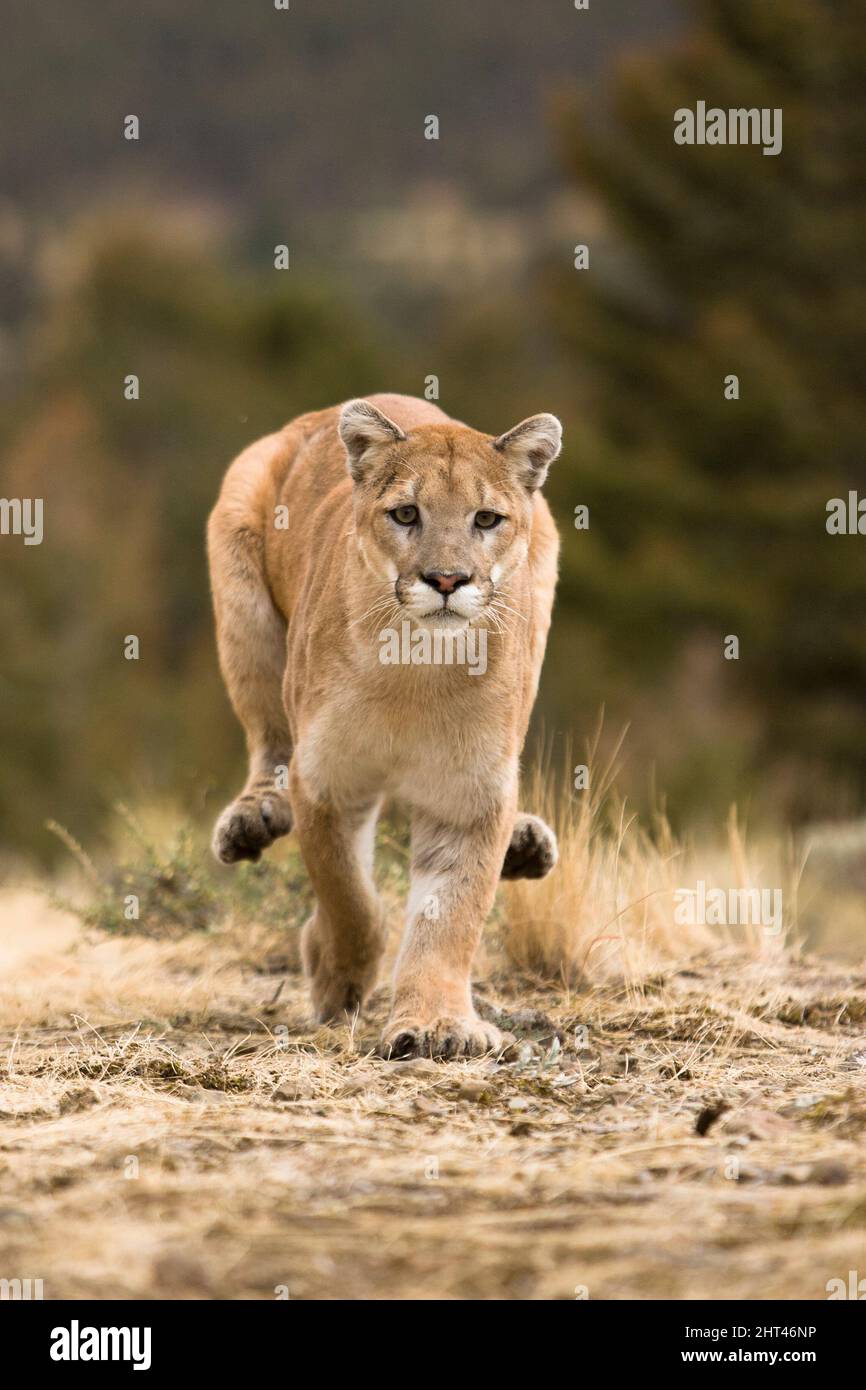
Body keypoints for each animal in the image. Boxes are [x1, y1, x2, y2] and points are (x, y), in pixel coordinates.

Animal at [207, 394, 561, 1058]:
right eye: (405, 514)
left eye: (486, 519)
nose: (446, 579)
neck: (418, 670)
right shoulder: (328, 777)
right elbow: (349, 896)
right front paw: (334, 974)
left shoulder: (467, 794)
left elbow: (451, 913)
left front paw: (439, 1026)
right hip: (242, 595)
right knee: (267, 737)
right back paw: (255, 815)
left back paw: (523, 841)